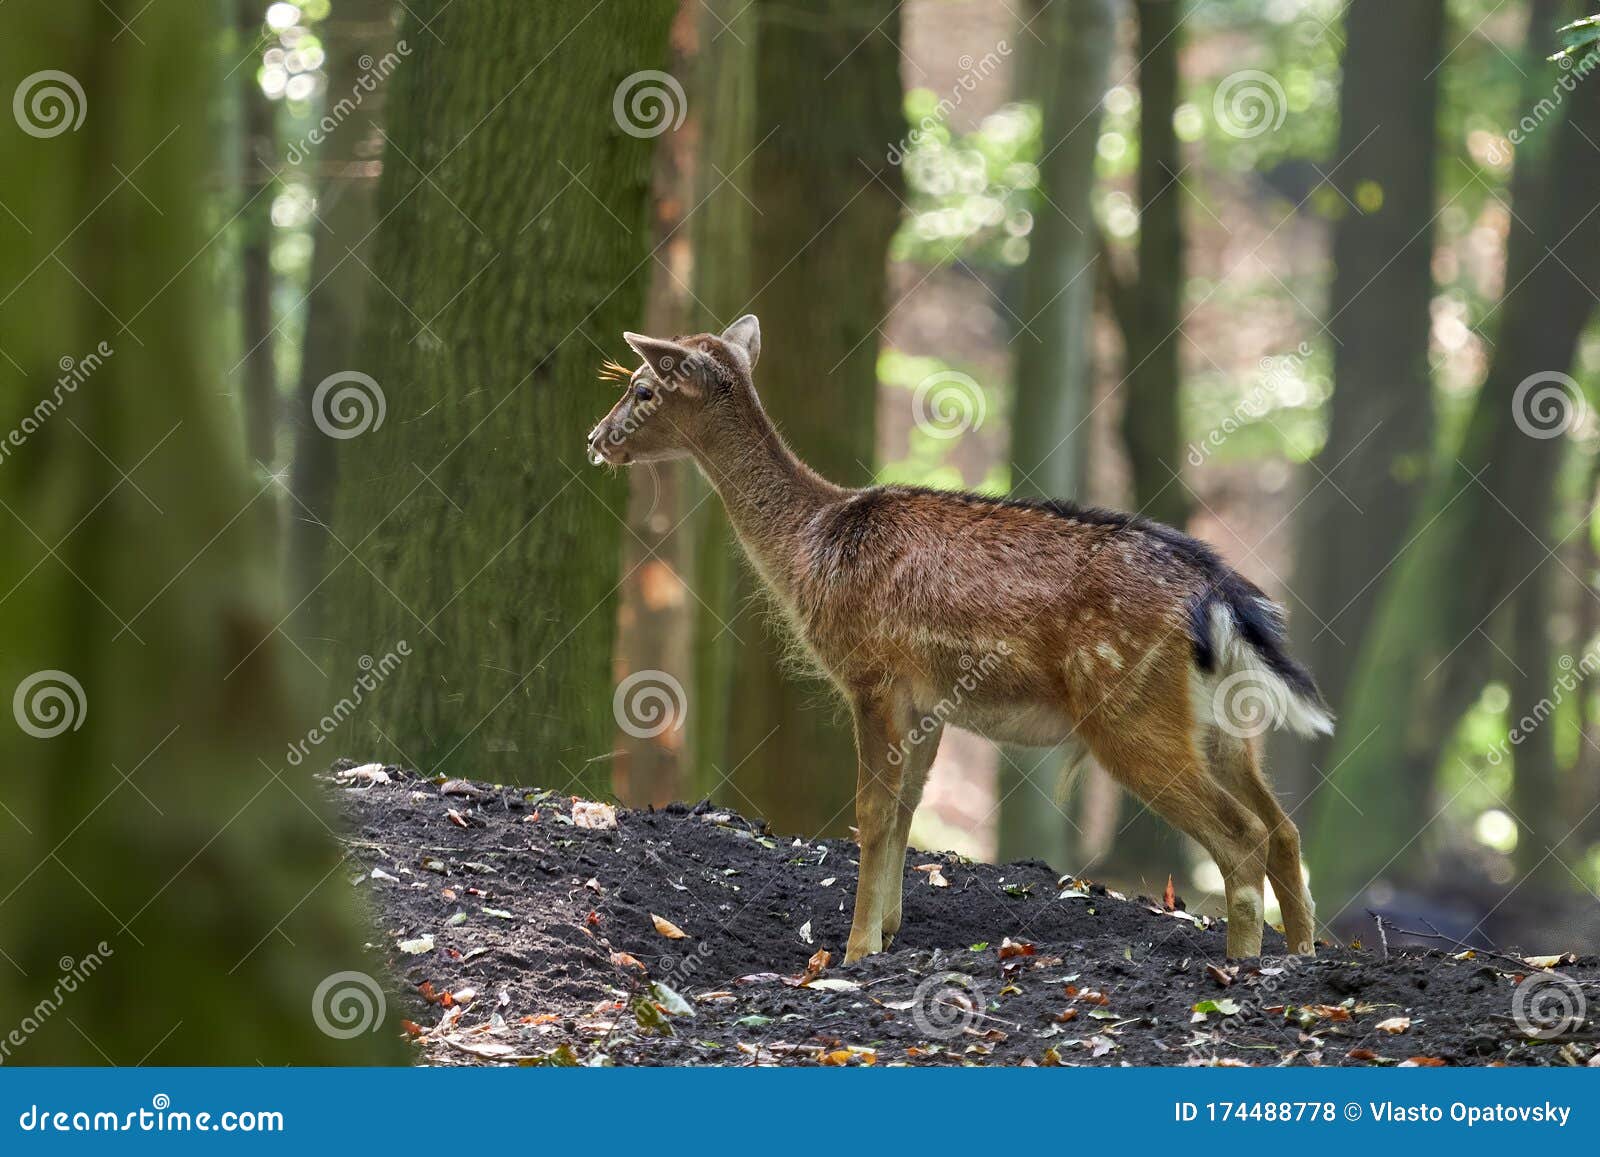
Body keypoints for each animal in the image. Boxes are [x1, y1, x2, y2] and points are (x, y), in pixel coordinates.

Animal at [587, 315, 1332, 963]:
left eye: (643, 387)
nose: (595, 438)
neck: (809, 548)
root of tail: (1218, 593)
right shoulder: (929, 701)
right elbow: (907, 807)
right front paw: (888, 931)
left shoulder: (873, 676)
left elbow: (873, 811)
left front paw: (854, 950)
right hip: (1226, 723)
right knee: (1285, 828)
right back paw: (1300, 955)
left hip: (1130, 712)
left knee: (1243, 836)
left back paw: (1243, 964)